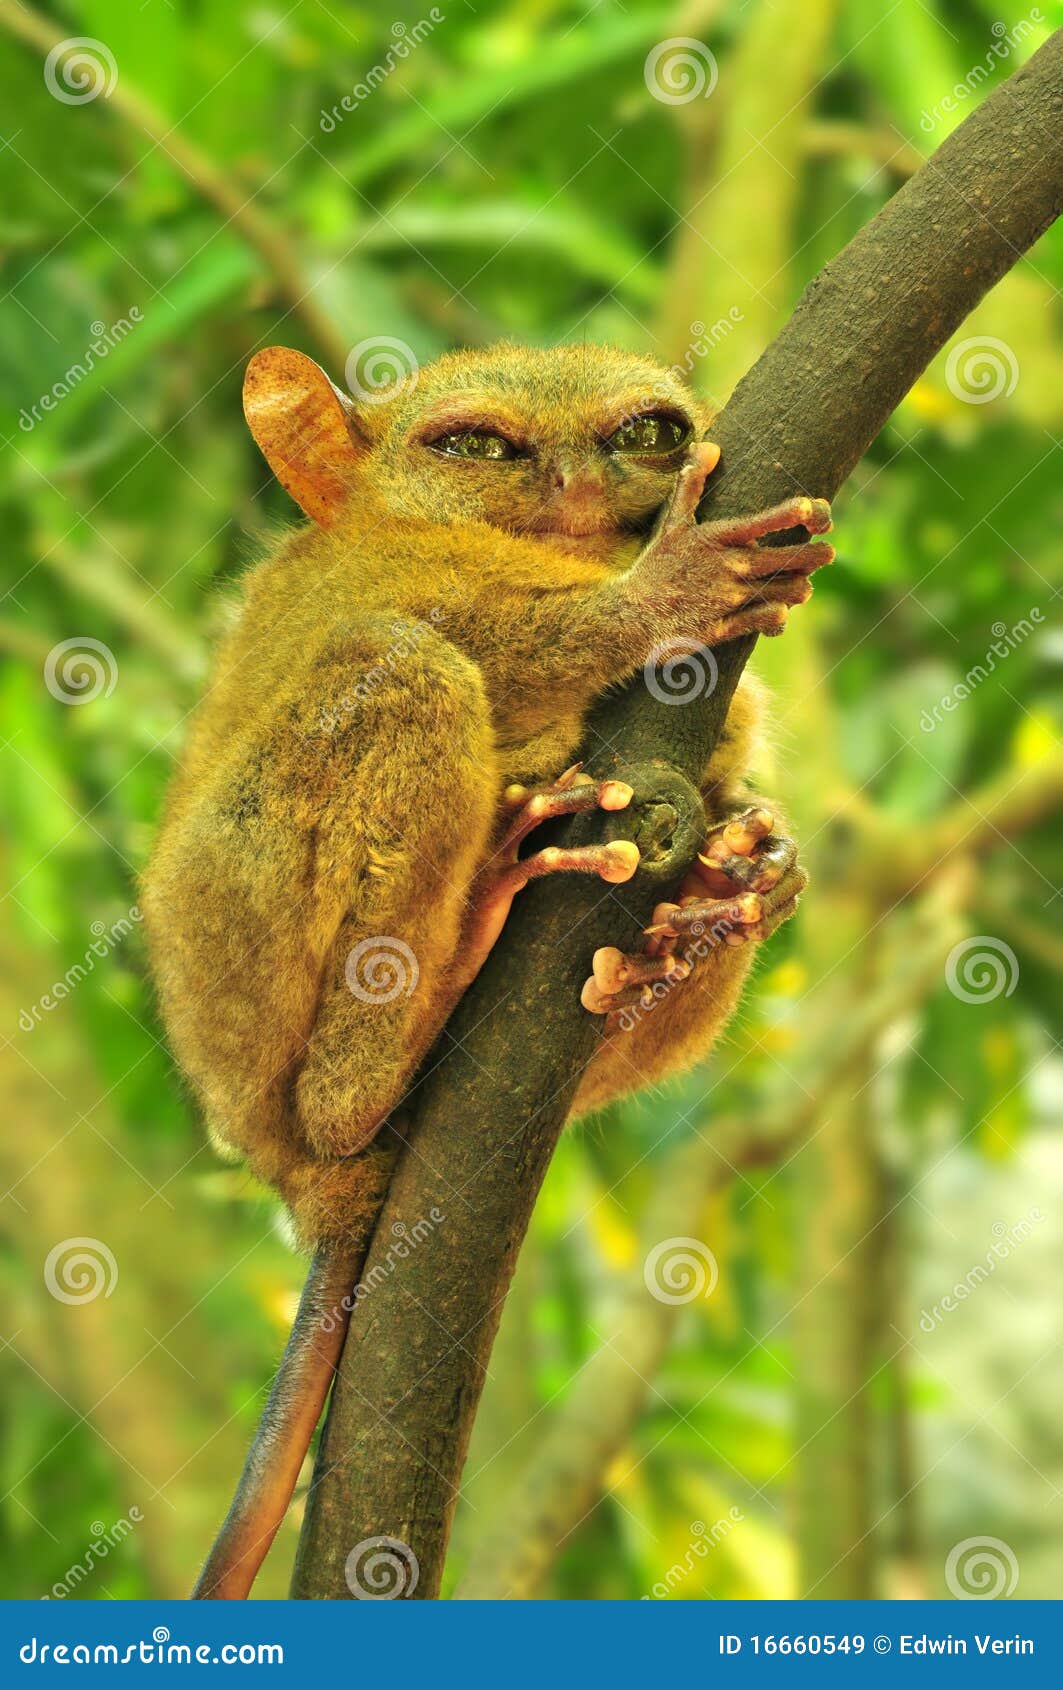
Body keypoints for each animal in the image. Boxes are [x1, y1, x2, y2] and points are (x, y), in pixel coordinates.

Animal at [140, 340, 832, 1598]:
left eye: (647, 434)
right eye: (475, 447)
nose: (571, 484)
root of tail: (282, 1170)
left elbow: (737, 747)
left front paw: (755, 859)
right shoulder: (390, 561)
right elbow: (488, 636)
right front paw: (670, 590)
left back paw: (691, 924)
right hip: (241, 963)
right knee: (404, 660)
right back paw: (415, 1011)